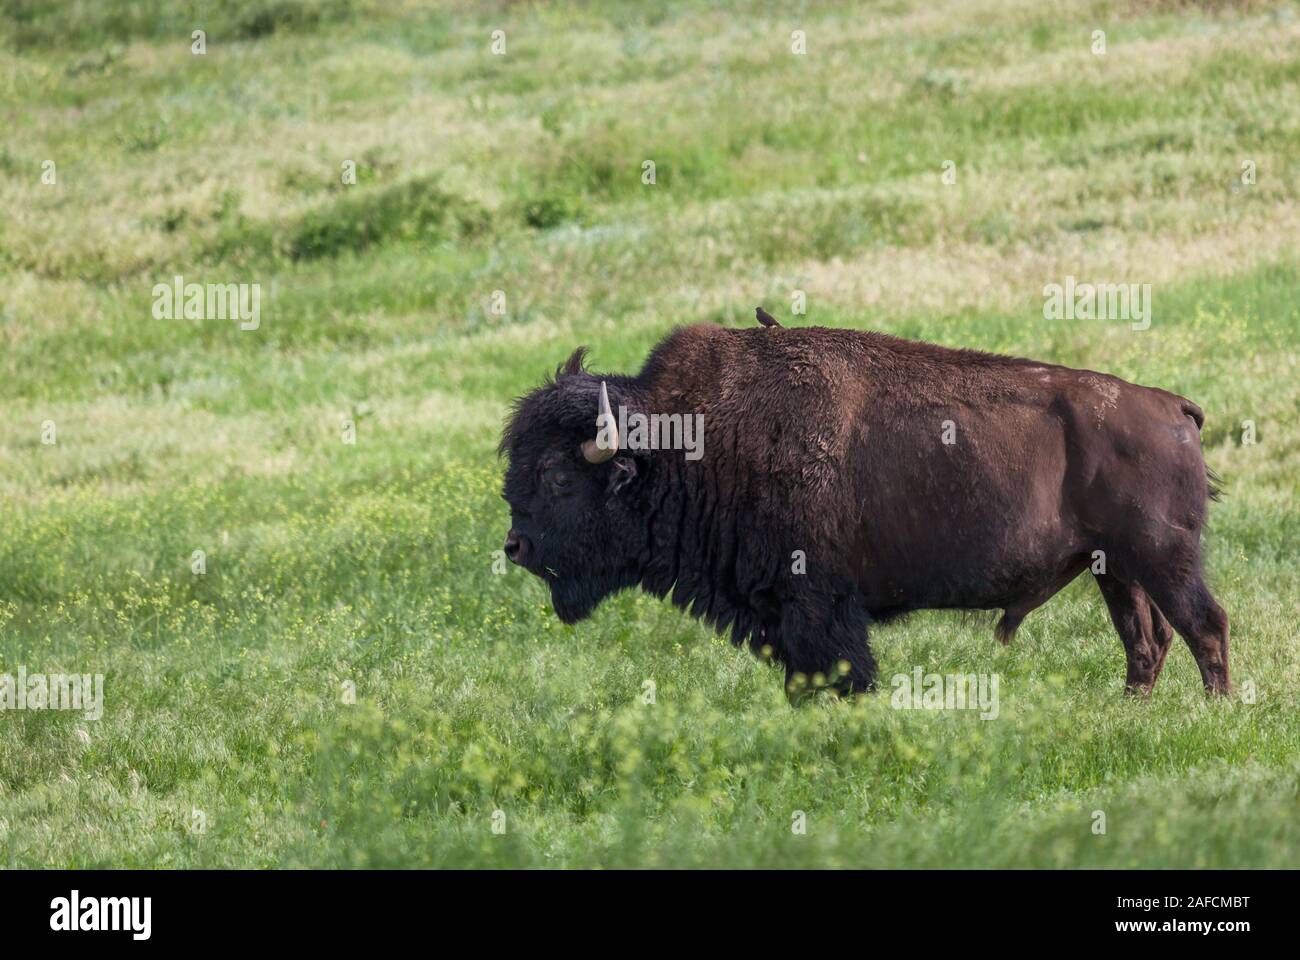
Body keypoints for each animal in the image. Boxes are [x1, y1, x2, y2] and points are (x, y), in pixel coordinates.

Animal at [499, 315, 1229, 700]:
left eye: (557, 477)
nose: (516, 546)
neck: (691, 440)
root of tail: (1170, 405)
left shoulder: (819, 609)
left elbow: (845, 672)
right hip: (1116, 568)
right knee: (1147, 640)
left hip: (1161, 558)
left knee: (1204, 625)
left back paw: (1215, 712)